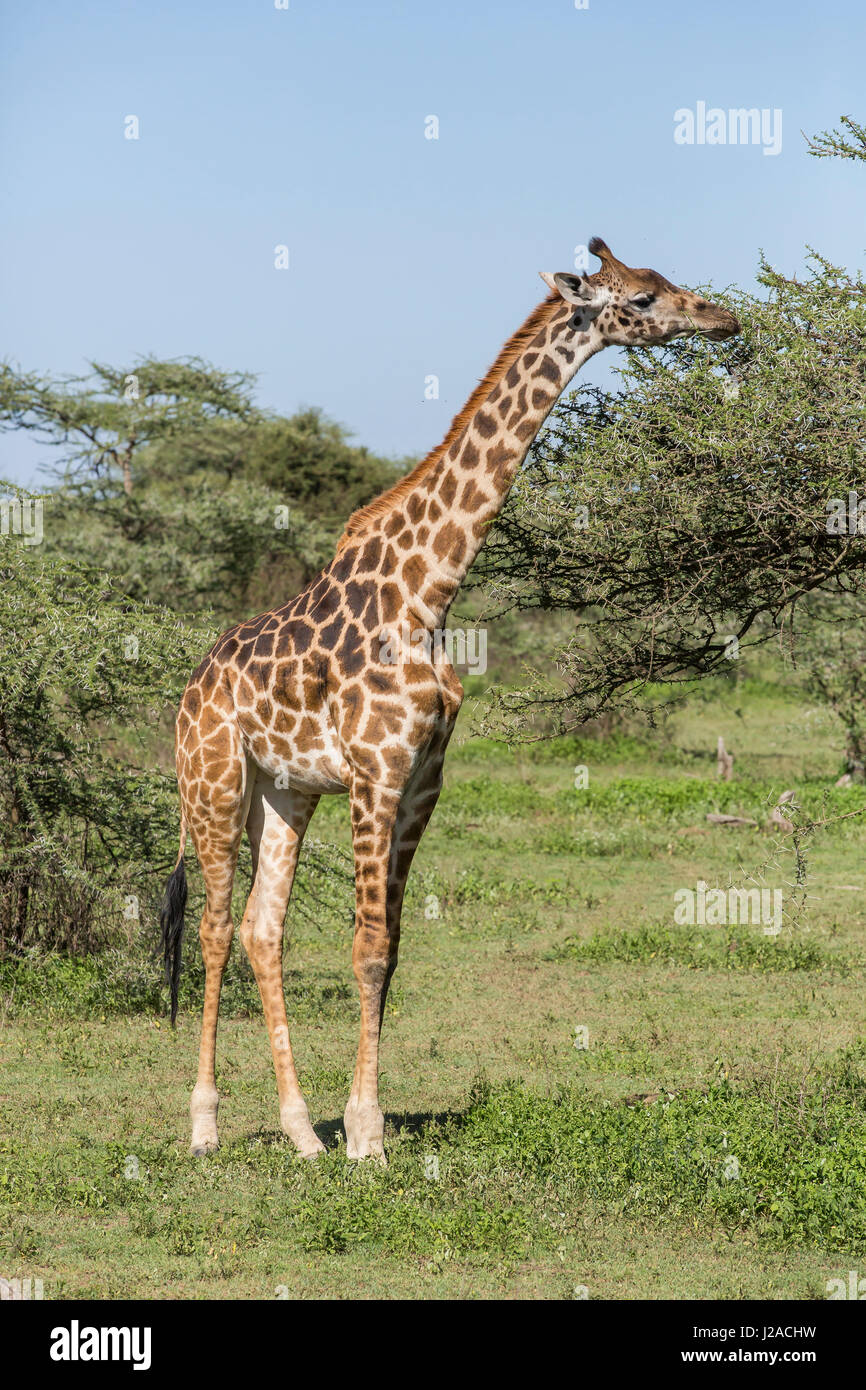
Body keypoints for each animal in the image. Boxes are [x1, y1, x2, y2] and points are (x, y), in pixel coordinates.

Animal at [160, 237, 739, 1162]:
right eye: (644, 297)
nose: (725, 318)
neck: (430, 592)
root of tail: (188, 689)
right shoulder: (375, 772)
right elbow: (364, 947)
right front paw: (367, 1140)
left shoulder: (422, 780)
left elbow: (390, 949)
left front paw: (357, 1125)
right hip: (212, 783)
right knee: (215, 925)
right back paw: (207, 1125)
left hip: (284, 793)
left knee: (260, 928)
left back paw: (300, 1132)